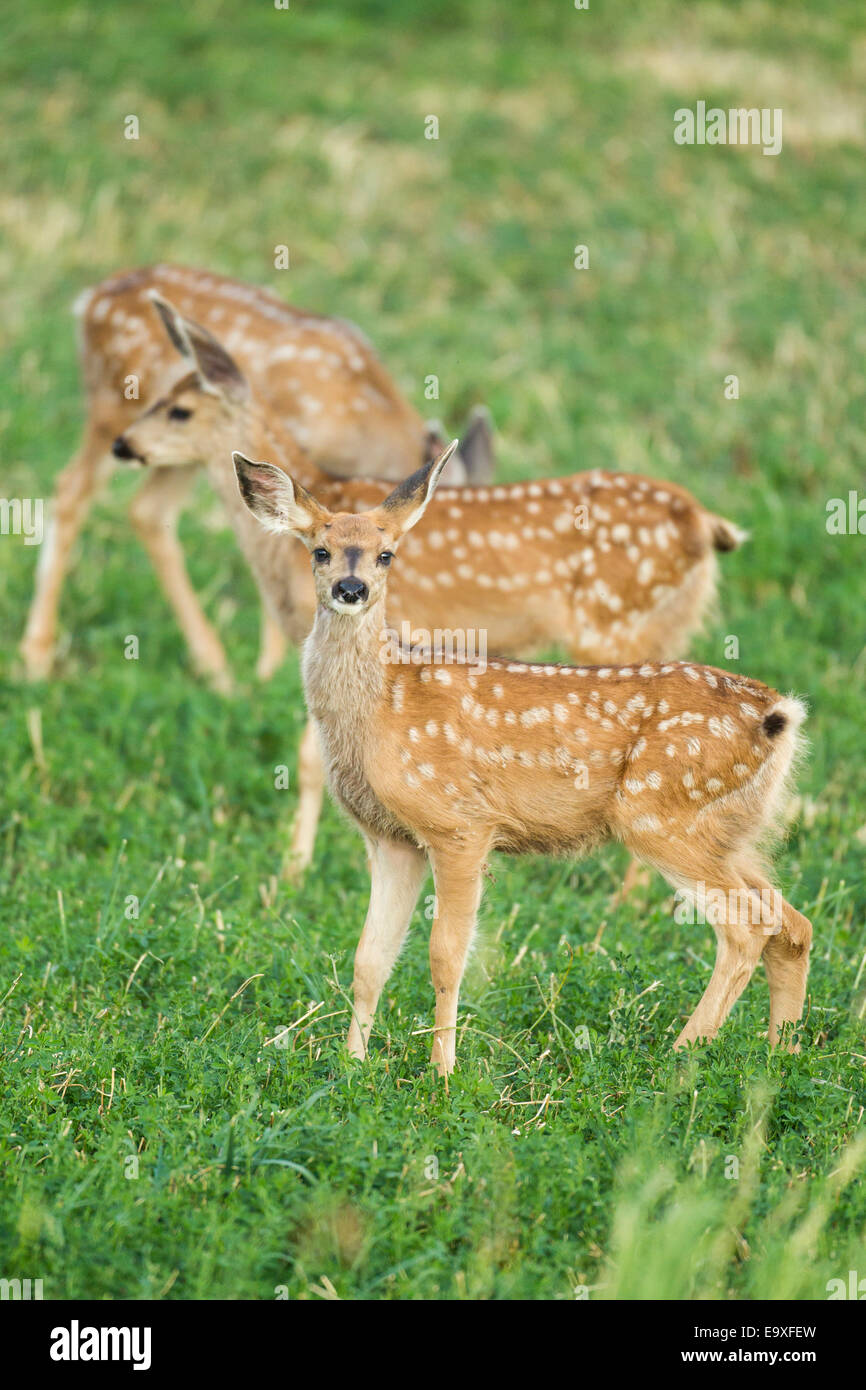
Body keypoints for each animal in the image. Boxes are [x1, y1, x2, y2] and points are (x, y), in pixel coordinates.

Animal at [19, 263, 493, 689]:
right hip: (114, 408)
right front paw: (270, 668)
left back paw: (214, 668)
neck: (363, 420)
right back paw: (37, 659)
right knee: (72, 489)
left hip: (178, 451)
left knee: (147, 510)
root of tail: (88, 301)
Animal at [104, 295, 749, 881]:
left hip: (615, 624)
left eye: (179, 410)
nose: (122, 444)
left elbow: (310, 760)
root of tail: (705, 523)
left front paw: (293, 870)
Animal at [233, 446, 813, 1075]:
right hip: (729, 827)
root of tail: (779, 714)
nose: (351, 587)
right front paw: (353, 1066)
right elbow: (369, 958)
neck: (380, 708)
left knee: (749, 925)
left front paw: (441, 1073)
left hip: (662, 814)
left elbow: (445, 956)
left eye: (387, 554)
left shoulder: (459, 823)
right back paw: (781, 1057)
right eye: (320, 549)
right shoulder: (392, 838)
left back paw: (681, 1056)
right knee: (792, 922)